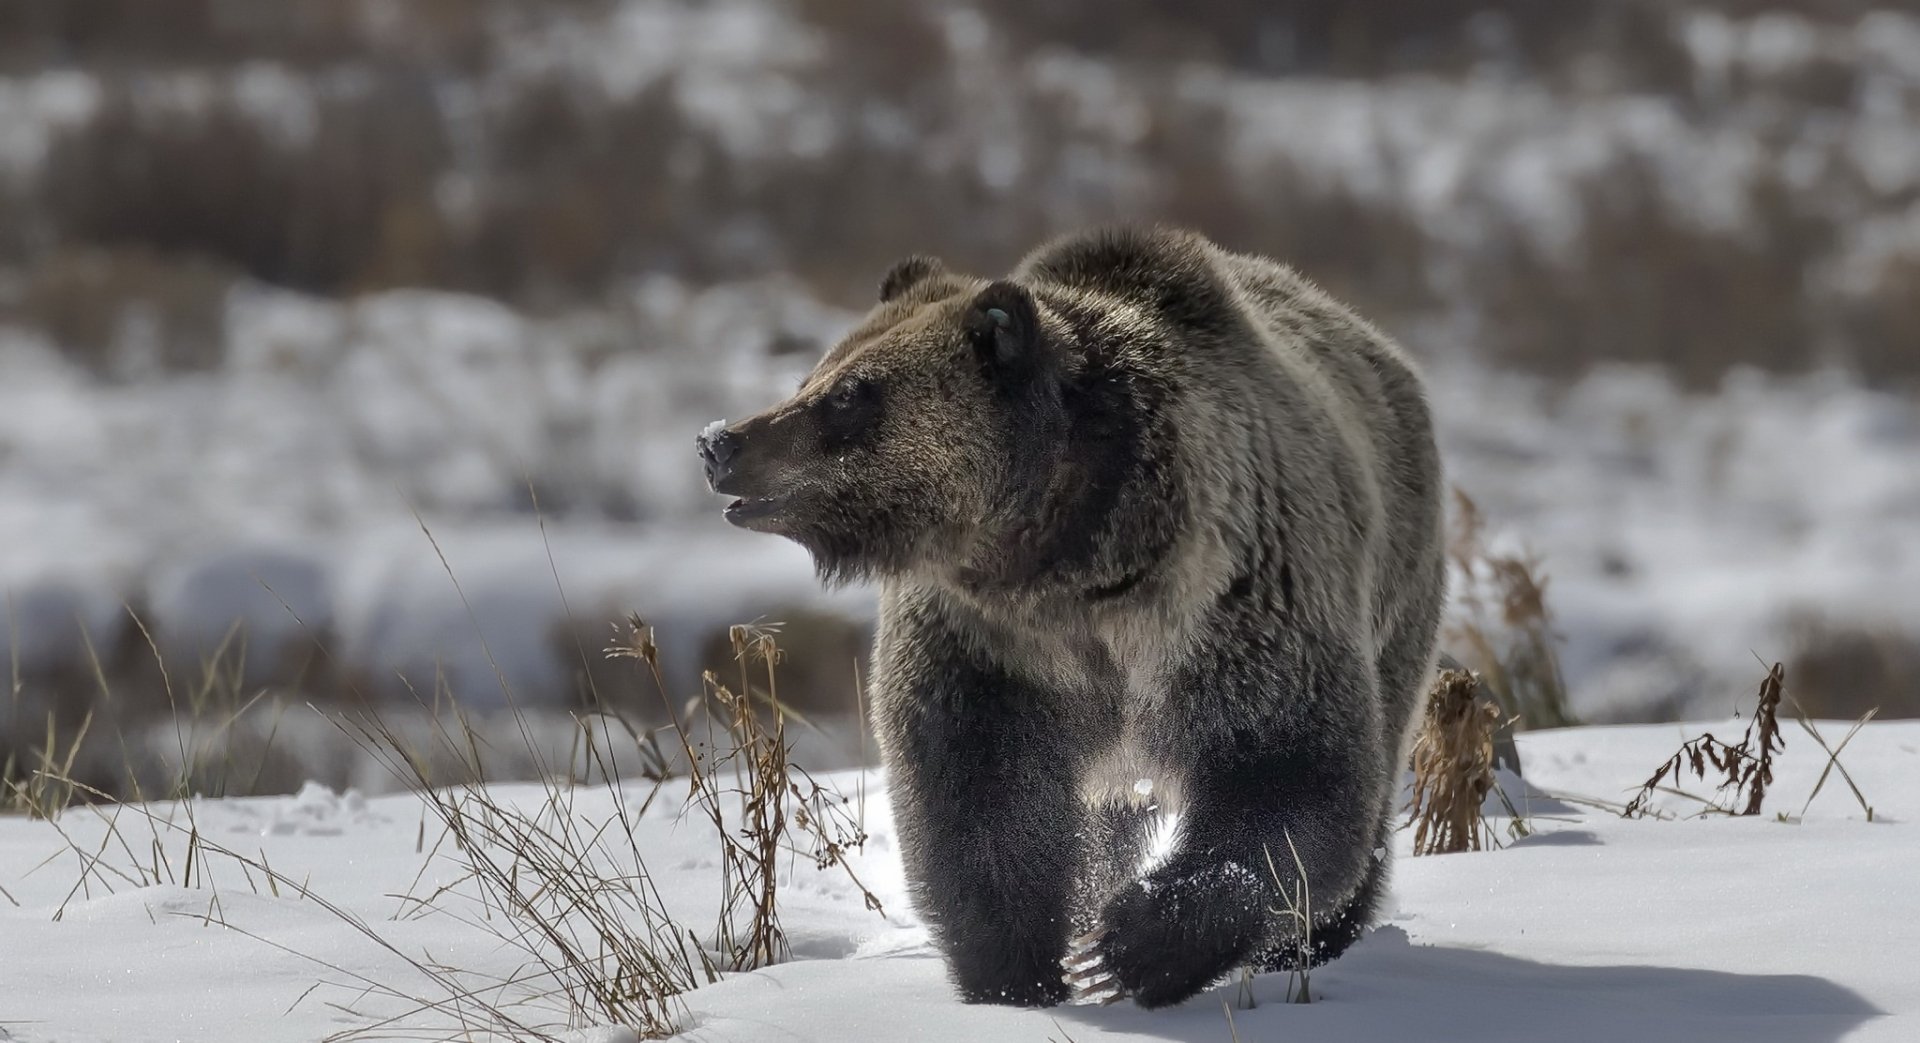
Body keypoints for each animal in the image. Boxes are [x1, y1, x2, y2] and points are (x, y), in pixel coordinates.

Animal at [696, 225, 1445, 1009]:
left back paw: (1315, 945)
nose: (721, 443)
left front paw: (1129, 947)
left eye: (848, 394)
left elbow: (1288, 771)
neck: (1073, 563)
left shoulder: (1238, 603)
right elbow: (980, 801)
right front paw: (1019, 971)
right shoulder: (992, 647)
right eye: (819, 372)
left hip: (1397, 590)